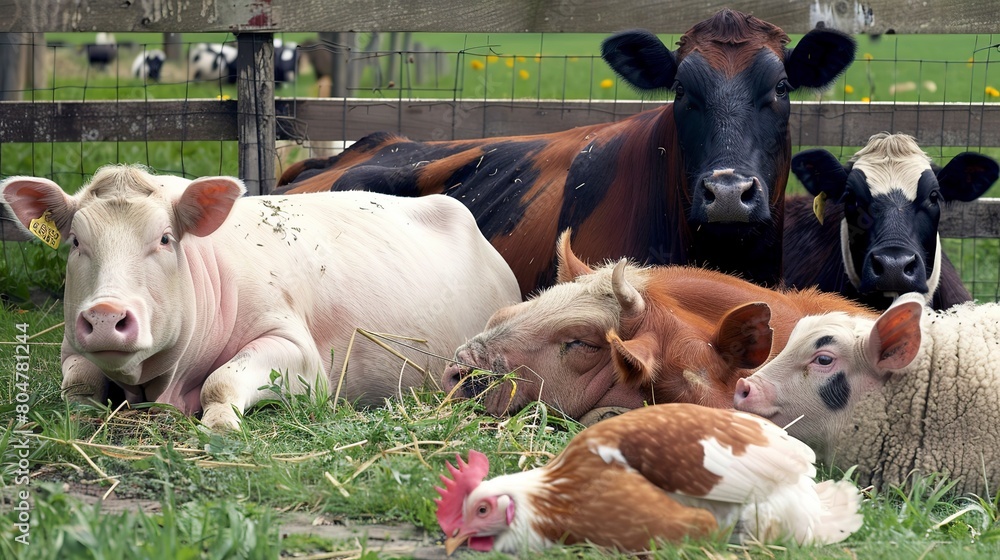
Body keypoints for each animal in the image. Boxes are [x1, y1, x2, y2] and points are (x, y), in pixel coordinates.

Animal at [1, 165, 520, 430]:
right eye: (75, 242)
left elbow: (222, 381)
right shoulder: (71, 346)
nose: (107, 317)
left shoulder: (302, 356)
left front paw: (219, 423)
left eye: (165, 239)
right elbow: (80, 382)